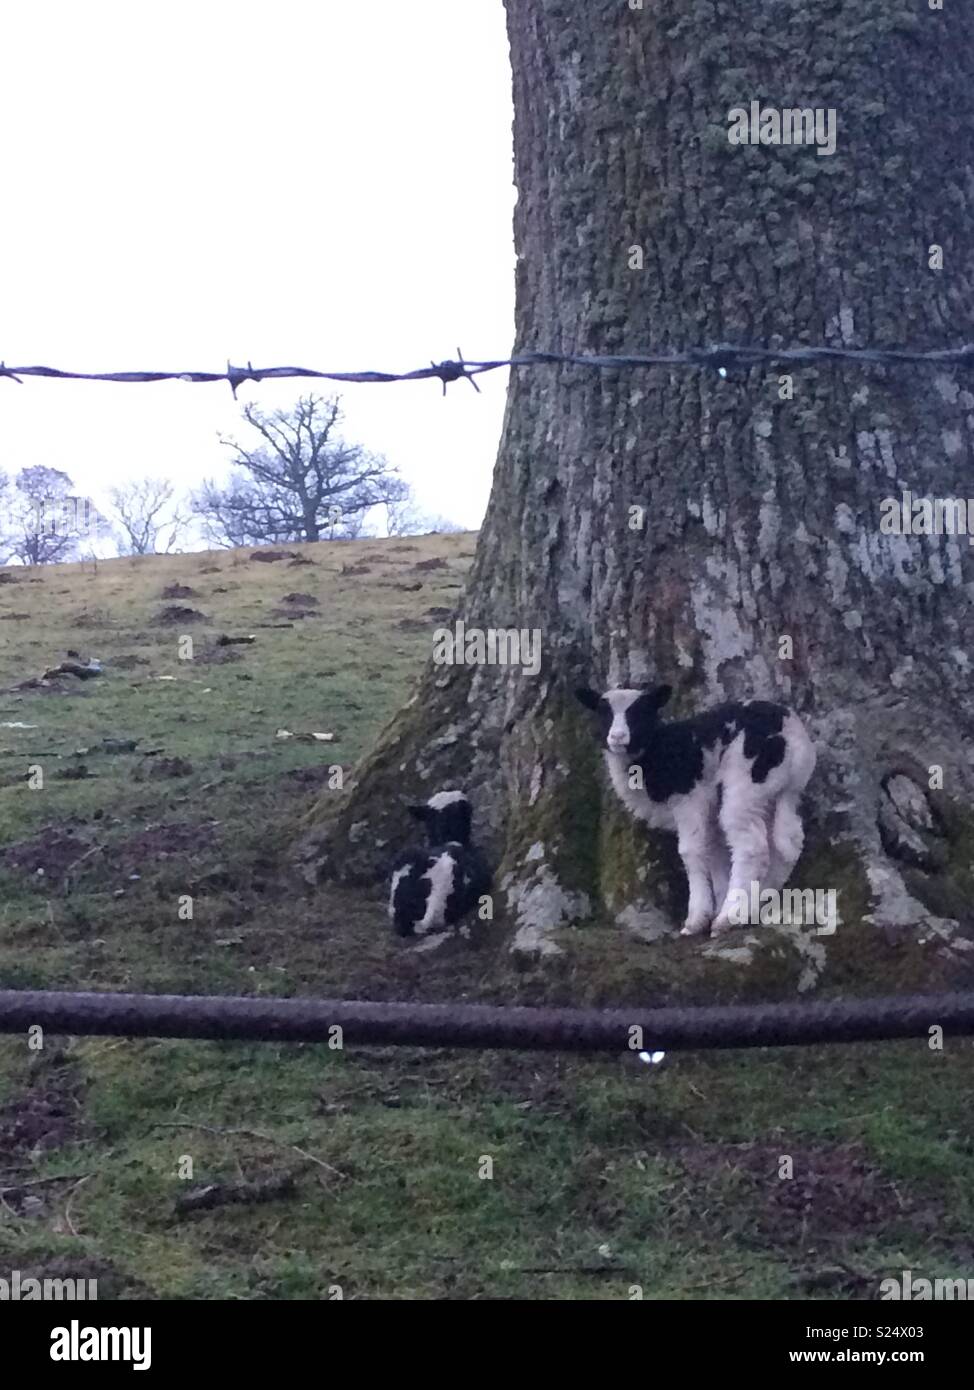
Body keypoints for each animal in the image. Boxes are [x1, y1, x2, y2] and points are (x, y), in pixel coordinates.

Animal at [575, 683, 816, 936]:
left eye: (640, 712)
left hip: (746, 784)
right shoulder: (709, 804)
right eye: (603, 713)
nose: (618, 737)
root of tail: (790, 728)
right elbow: (715, 851)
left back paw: (729, 916)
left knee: (752, 847)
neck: (657, 753)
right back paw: (756, 903)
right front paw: (715, 904)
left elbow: (692, 851)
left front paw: (697, 920)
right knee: (787, 843)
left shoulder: (690, 798)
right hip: (785, 791)